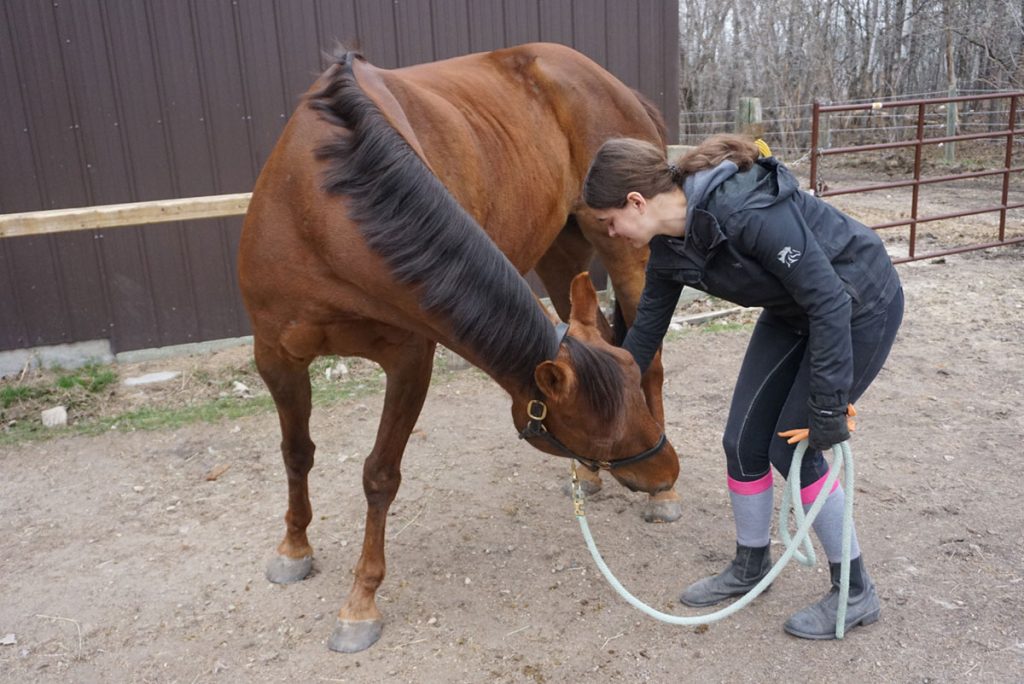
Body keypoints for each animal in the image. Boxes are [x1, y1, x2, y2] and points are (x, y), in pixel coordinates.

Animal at [238, 42, 681, 653]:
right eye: (600, 436)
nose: (666, 471)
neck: (318, 200)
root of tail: (613, 84)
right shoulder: (276, 356)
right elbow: (296, 452)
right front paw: (294, 548)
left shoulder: (409, 360)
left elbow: (380, 475)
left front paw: (360, 602)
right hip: (560, 255)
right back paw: (598, 481)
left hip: (625, 247)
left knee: (651, 355)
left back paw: (662, 506)